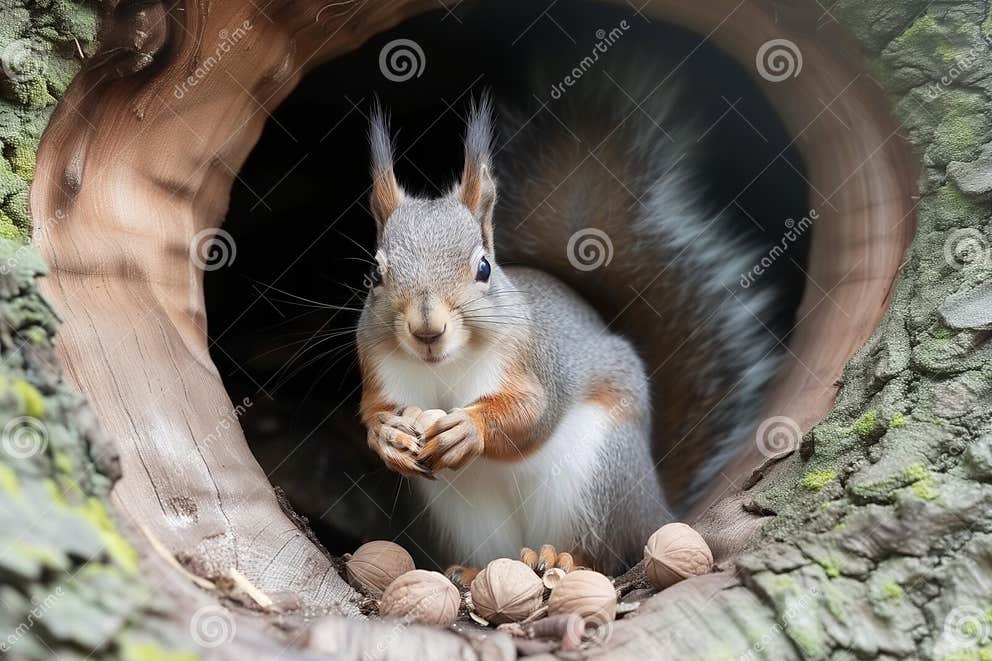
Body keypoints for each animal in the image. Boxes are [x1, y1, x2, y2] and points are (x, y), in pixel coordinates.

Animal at [357, 64, 782, 576]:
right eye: (375, 274)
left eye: (484, 268)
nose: (427, 331)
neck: (445, 366)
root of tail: (655, 506)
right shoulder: (377, 369)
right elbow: (370, 411)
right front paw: (387, 435)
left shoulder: (535, 361)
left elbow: (533, 413)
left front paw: (469, 428)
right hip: (463, 515)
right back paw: (475, 571)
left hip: (596, 480)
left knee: (600, 554)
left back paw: (560, 557)